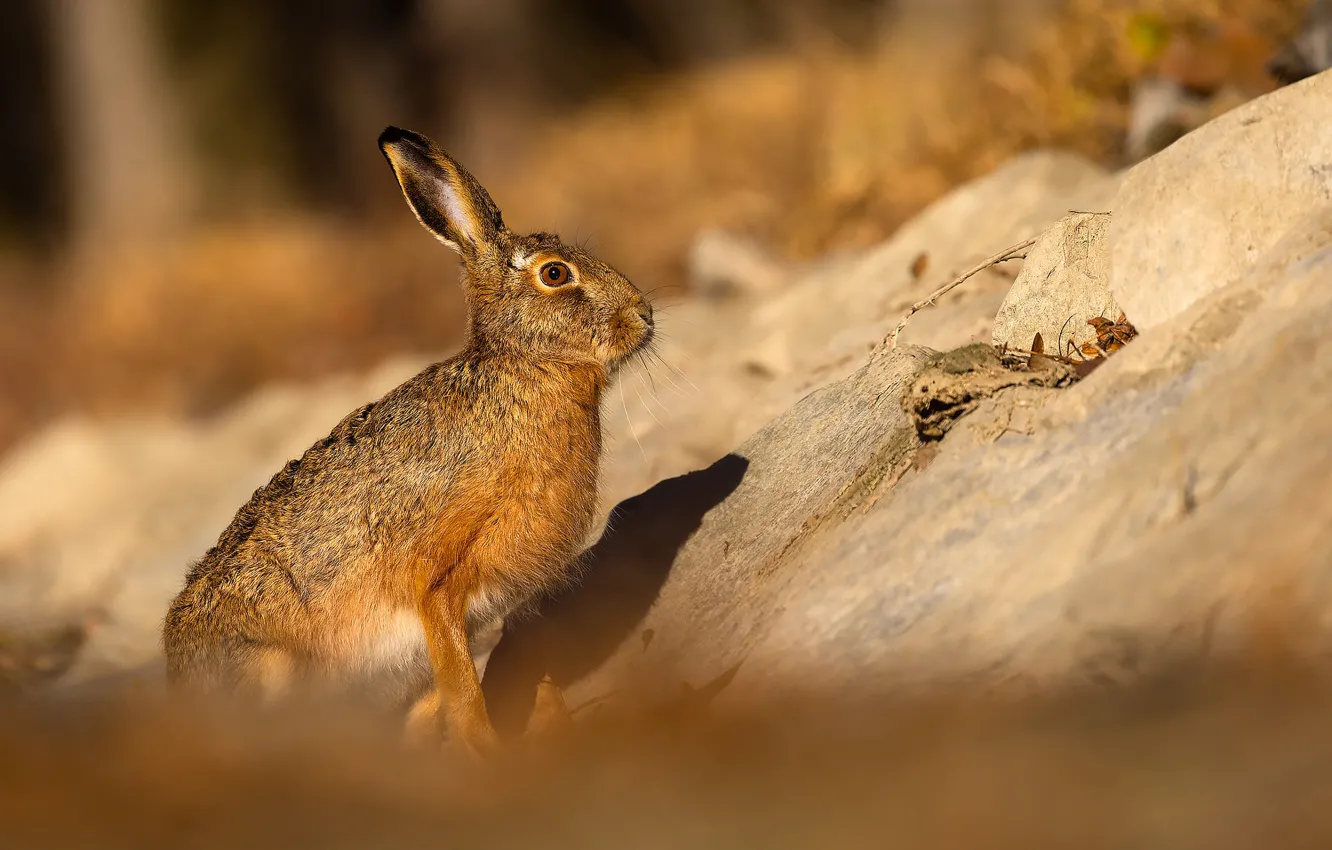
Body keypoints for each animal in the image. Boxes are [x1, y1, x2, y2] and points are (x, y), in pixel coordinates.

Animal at [162, 126, 655, 754]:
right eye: (554, 274)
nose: (645, 315)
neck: (522, 369)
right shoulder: (439, 583)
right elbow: (465, 693)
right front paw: (491, 756)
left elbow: (452, 699)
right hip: (267, 673)